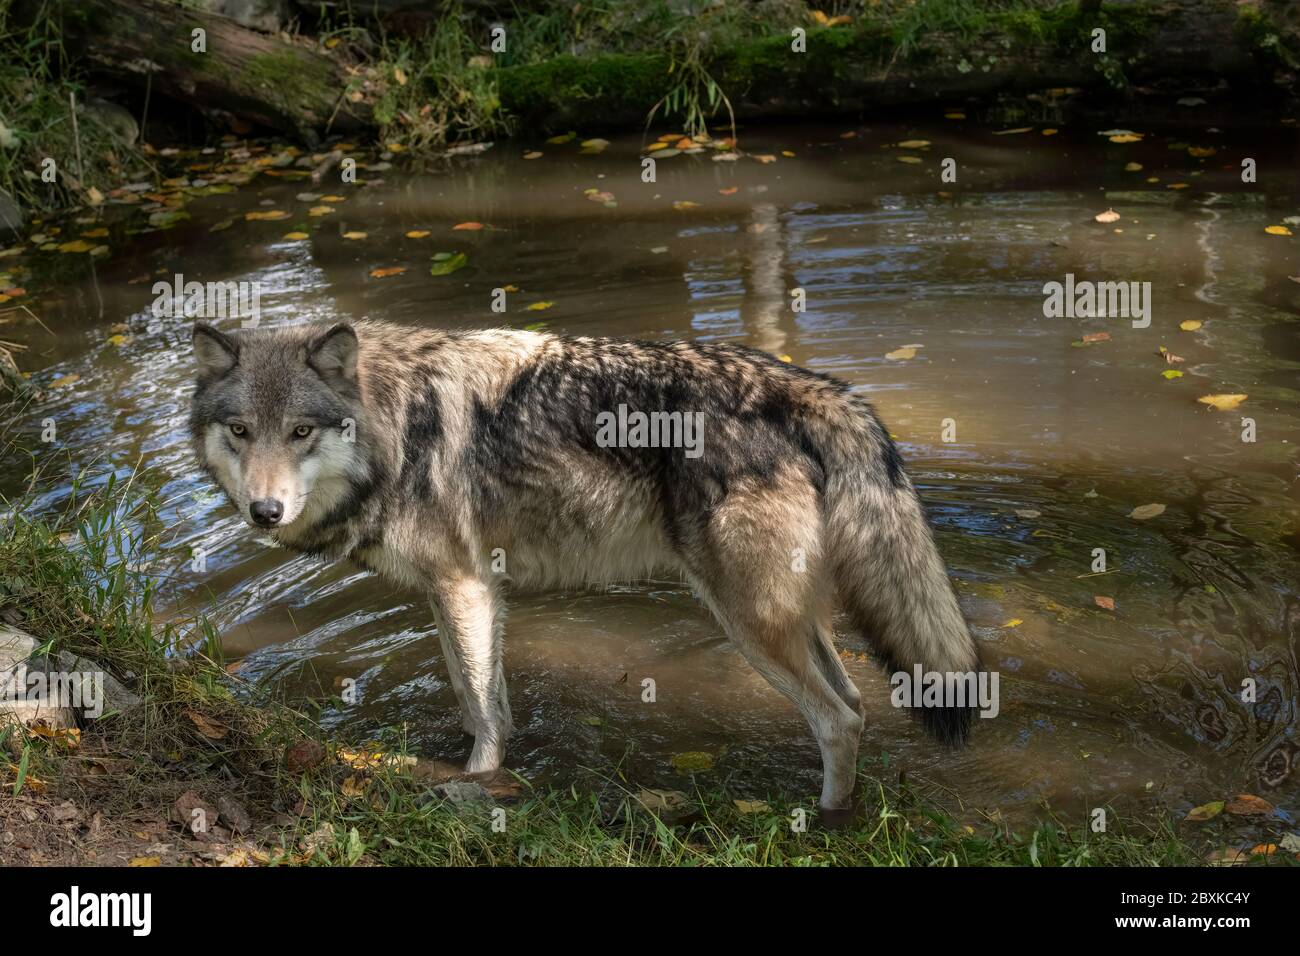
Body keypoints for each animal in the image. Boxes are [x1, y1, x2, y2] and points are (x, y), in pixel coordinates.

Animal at [189, 319, 980, 816]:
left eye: (301, 431)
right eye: (241, 431)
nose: (264, 511)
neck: (394, 424)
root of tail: (818, 389)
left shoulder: (465, 587)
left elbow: (483, 713)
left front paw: (476, 789)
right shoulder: (469, 592)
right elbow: (482, 701)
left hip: (751, 622)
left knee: (839, 720)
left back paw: (825, 822)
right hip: (786, 619)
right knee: (856, 705)